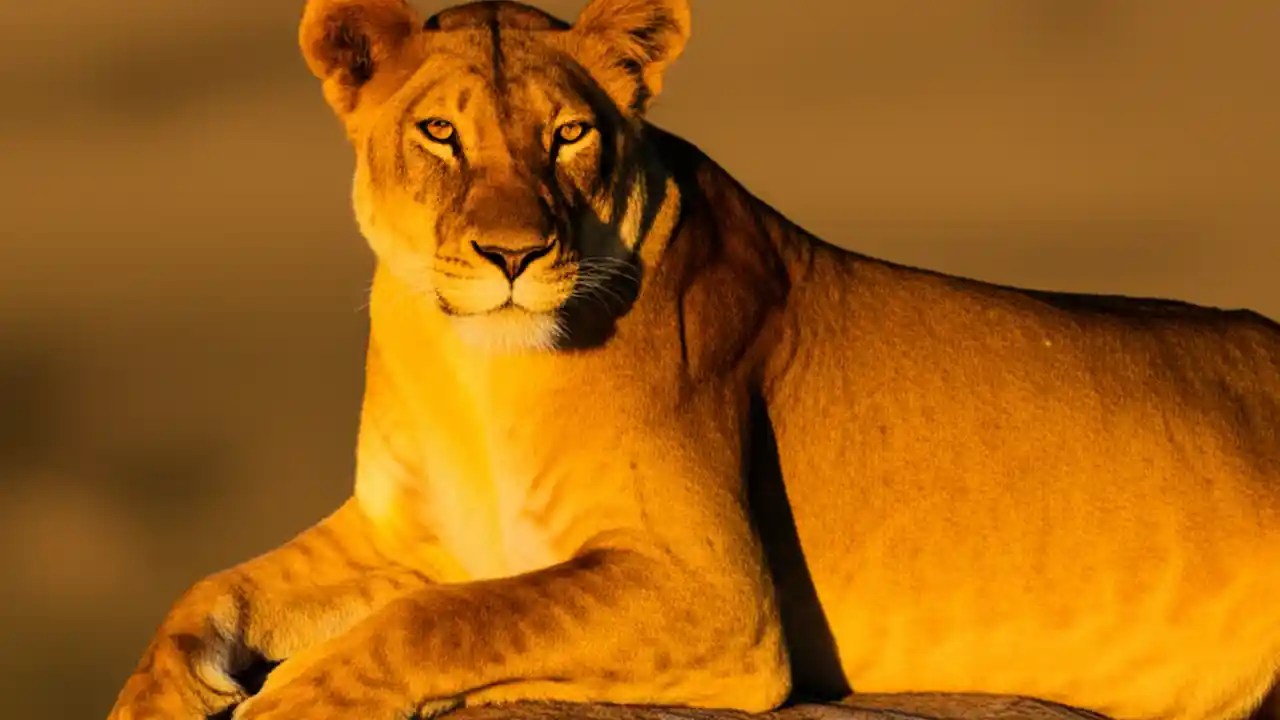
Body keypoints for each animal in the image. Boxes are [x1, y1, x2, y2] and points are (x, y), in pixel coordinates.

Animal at [106, 1, 1280, 719]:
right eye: (439, 132)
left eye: (569, 135)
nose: (511, 255)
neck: (472, 366)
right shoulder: (409, 538)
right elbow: (210, 593)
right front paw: (158, 696)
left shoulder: (716, 593)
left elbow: (443, 620)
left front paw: (294, 699)